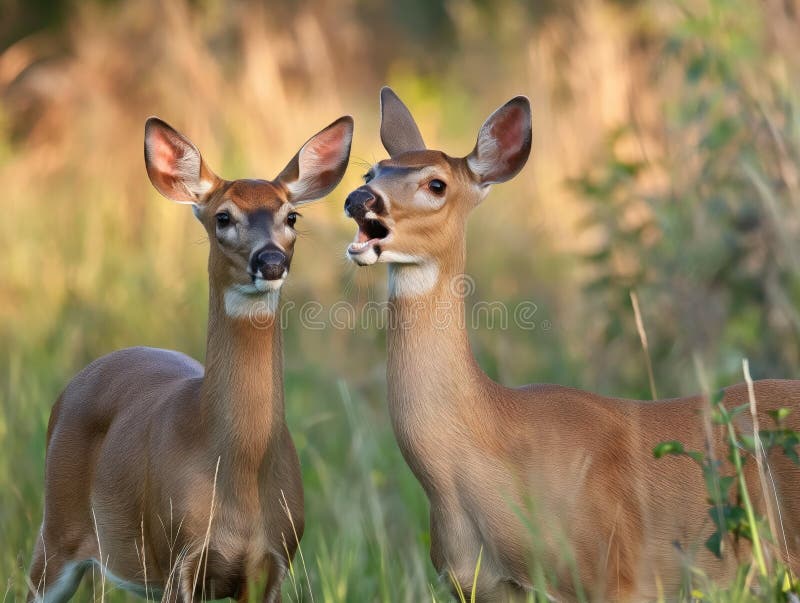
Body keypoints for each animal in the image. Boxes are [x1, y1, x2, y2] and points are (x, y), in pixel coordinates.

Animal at [28, 114, 354, 602]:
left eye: (291, 216)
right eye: (223, 217)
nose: (271, 260)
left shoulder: (273, 564)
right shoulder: (177, 556)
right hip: (58, 529)